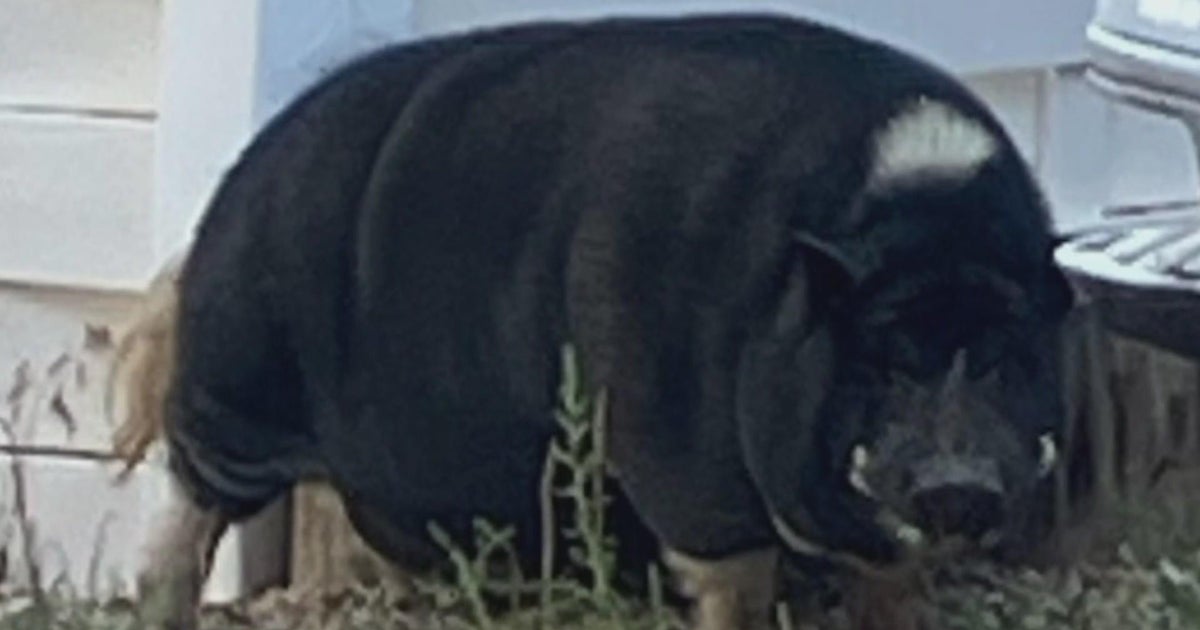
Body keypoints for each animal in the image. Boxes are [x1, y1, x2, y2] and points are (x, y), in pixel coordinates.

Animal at [108, 13, 1073, 630]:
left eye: (1004, 354)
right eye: (888, 355)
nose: (960, 481)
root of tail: (227, 195)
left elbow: (889, 585)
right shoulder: (677, 446)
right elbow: (733, 582)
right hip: (234, 384)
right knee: (186, 504)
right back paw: (162, 608)